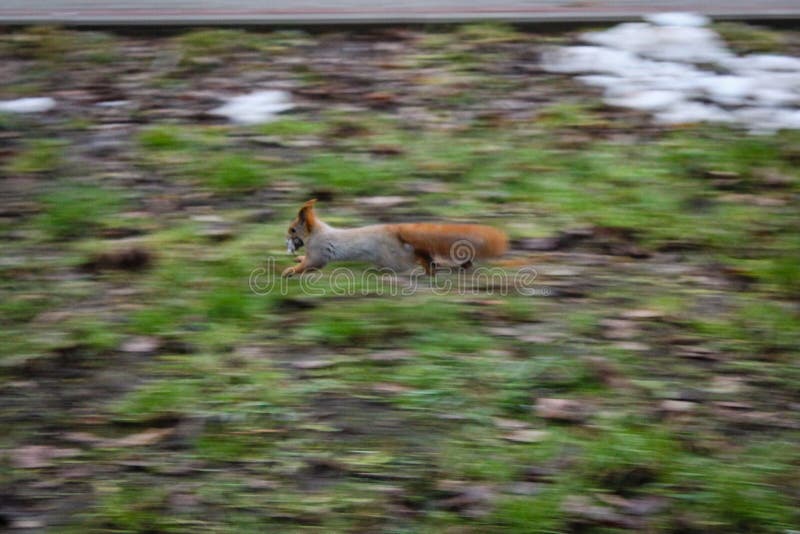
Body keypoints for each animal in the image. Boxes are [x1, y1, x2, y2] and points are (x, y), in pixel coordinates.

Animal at [282, 199, 507, 277]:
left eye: (293, 229)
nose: (285, 239)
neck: (317, 233)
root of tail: (395, 230)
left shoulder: (319, 250)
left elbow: (312, 264)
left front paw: (290, 271)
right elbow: (306, 260)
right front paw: (297, 259)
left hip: (392, 258)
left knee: (415, 258)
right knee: (424, 255)